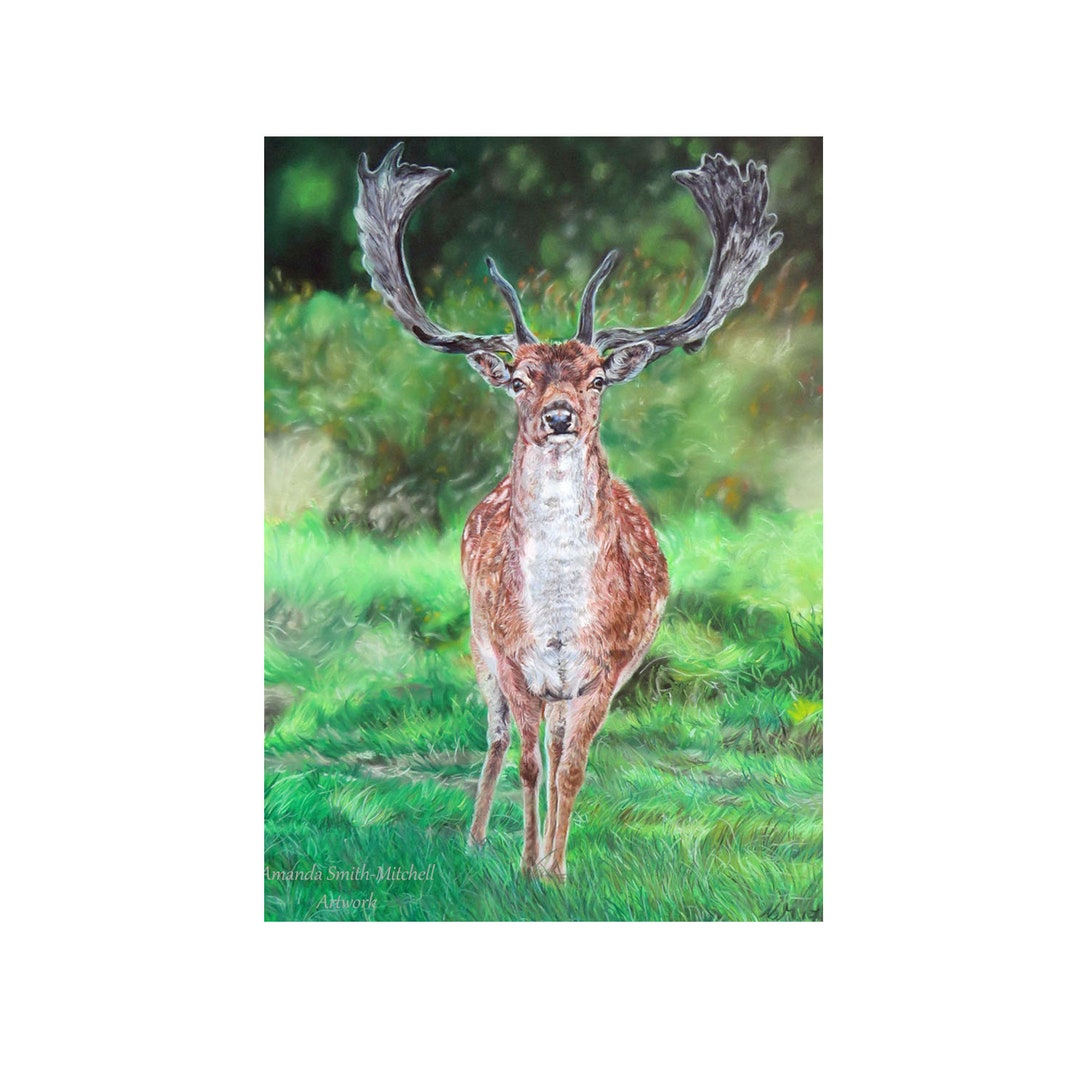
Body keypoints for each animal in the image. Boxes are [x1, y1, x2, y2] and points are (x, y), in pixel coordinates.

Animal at [355, 143, 781, 882]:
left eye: (597, 377)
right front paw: (527, 868)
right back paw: (474, 841)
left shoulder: (604, 673)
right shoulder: (514, 660)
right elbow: (527, 763)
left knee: (556, 752)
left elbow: (573, 769)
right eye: (519, 378)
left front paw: (556, 871)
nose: (559, 417)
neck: (557, 618)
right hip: (479, 646)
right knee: (497, 739)